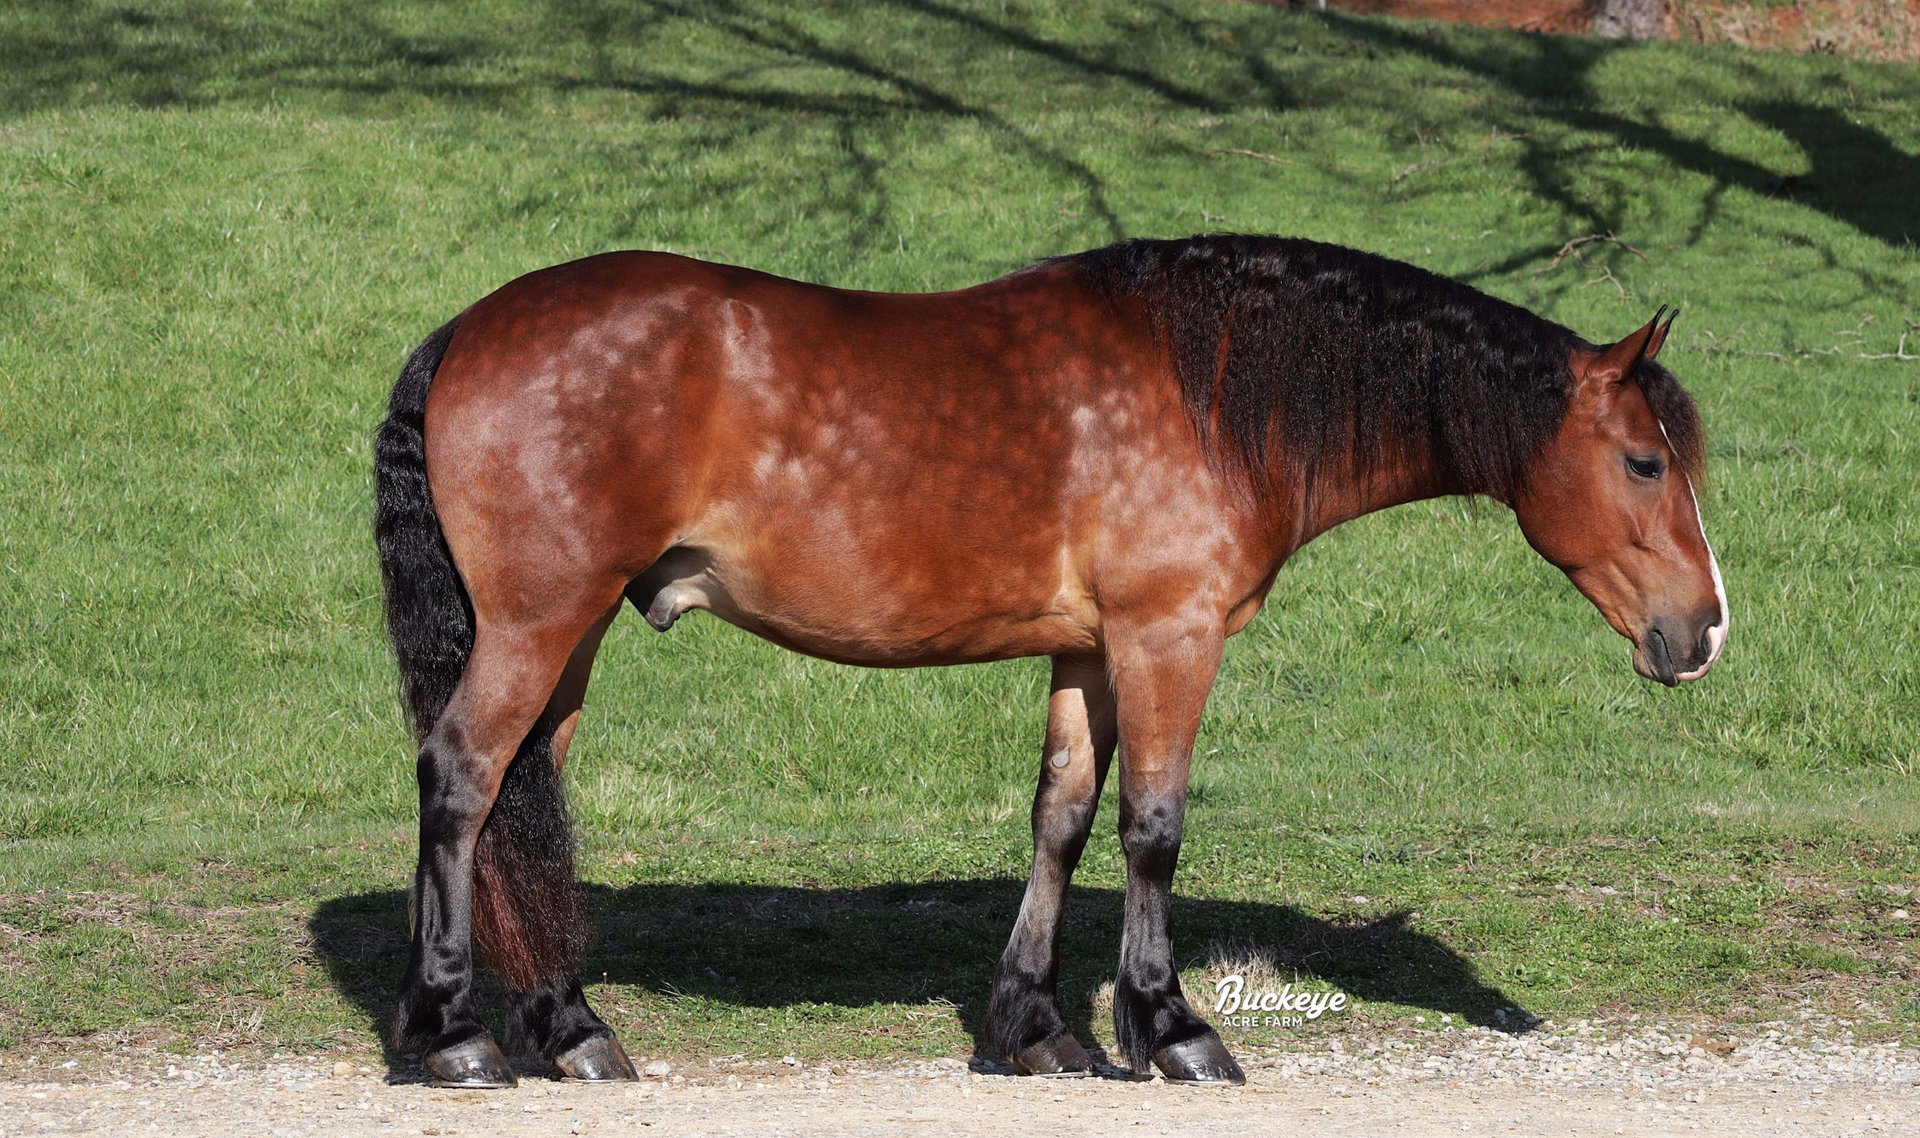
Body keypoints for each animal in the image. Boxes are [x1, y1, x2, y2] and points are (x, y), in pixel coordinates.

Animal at [372, 234, 1727, 1088]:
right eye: (1644, 461)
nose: (1705, 630)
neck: (1213, 391)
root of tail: (471, 328)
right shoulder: (1169, 636)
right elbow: (1154, 828)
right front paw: (1170, 1028)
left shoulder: (1091, 652)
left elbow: (1062, 819)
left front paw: (1034, 1027)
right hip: (542, 621)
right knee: (465, 777)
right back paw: (453, 1036)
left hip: (572, 630)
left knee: (521, 798)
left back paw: (568, 1026)